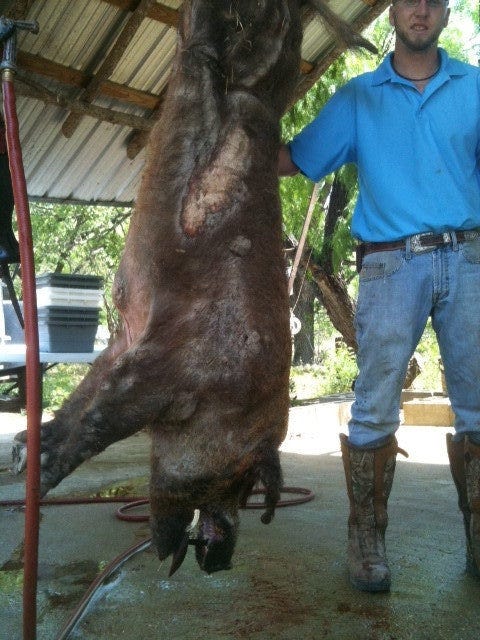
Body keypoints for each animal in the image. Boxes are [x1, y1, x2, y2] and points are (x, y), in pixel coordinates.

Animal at [15, 0, 374, 574]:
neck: (227, 403)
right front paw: (30, 467)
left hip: (260, 69)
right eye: (242, 481)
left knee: (246, 56)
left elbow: (87, 396)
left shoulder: (125, 342)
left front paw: (24, 453)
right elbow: (100, 416)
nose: (221, 560)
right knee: (225, 45)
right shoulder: (166, 364)